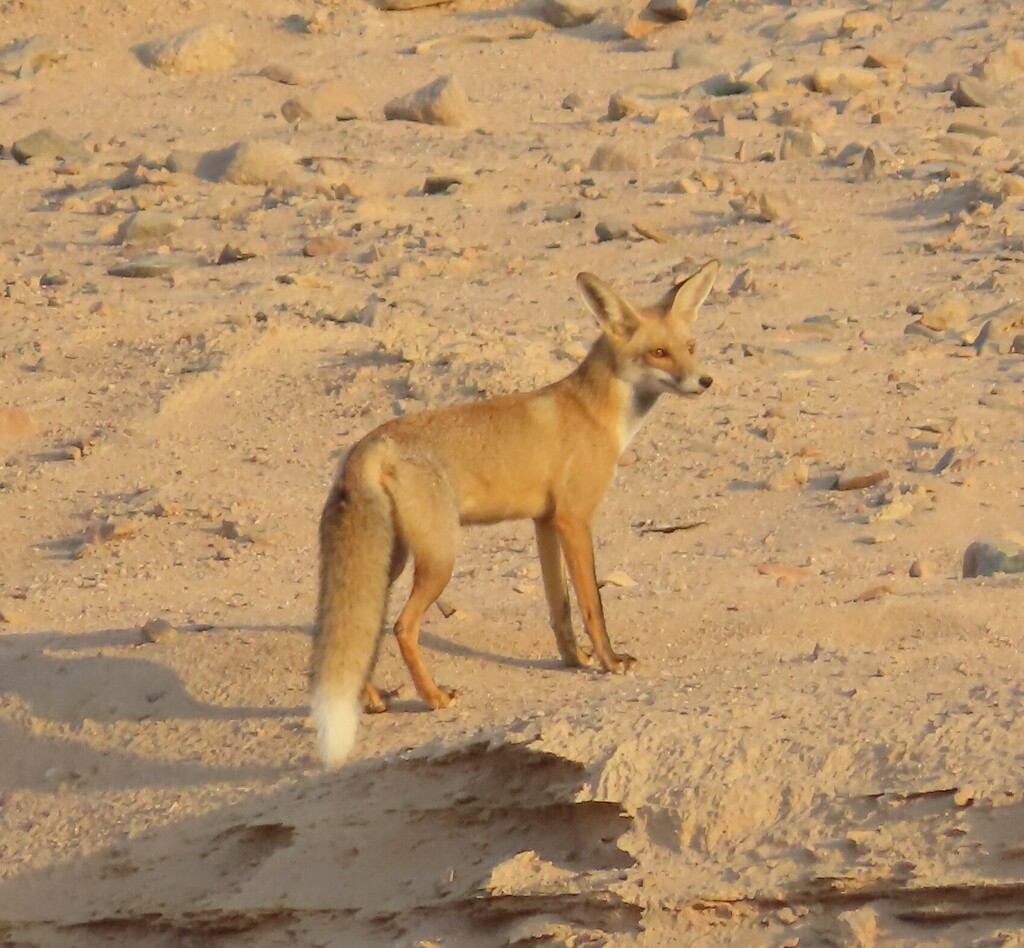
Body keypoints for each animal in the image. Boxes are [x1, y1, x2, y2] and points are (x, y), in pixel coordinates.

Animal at [311, 260, 719, 766]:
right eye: (659, 353)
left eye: (690, 347)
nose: (704, 381)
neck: (595, 413)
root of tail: (370, 444)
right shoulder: (574, 518)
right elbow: (592, 605)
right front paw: (608, 661)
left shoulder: (544, 521)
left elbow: (559, 607)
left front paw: (574, 661)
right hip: (439, 559)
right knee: (402, 627)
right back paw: (433, 698)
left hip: (391, 559)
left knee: (357, 626)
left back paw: (370, 699)